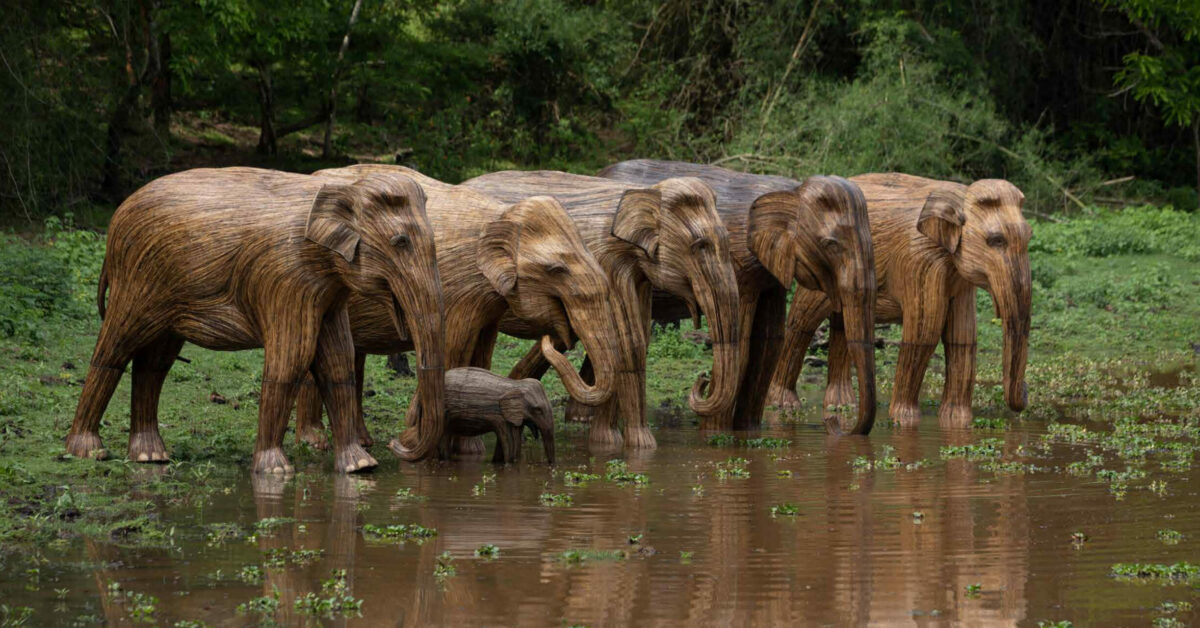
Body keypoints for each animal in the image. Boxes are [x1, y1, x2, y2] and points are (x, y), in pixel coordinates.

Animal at [64, 167, 447, 473]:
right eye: (400, 242)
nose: (399, 443)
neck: (341, 188)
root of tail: (114, 219)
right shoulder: (285, 276)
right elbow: (291, 360)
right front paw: (276, 471)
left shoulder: (327, 290)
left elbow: (337, 362)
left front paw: (360, 467)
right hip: (137, 279)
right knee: (115, 348)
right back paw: (89, 452)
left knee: (155, 363)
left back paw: (150, 457)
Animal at [294, 165, 621, 455]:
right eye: (556, 269)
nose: (551, 340)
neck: (501, 213)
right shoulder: (457, 294)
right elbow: (455, 349)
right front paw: (428, 441)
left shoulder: (487, 303)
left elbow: (482, 354)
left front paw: (468, 448)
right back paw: (315, 442)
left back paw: (363, 442)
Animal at [460, 170, 741, 449]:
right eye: (700, 245)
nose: (703, 378)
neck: (642, 191)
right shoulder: (607, 262)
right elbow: (629, 344)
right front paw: (641, 447)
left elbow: (636, 338)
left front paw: (608, 442)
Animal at [598, 160, 878, 434]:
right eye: (832, 244)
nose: (836, 425)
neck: (791, 189)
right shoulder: (737, 263)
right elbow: (741, 344)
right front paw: (716, 436)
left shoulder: (769, 275)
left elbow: (769, 342)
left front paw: (748, 432)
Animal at [766, 173, 1031, 427]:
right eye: (996, 240)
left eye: (1028, 237)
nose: (1026, 392)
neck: (960, 193)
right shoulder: (919, 261)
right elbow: (924, 335)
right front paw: (904, 422)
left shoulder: (959, 279)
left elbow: (962, 338)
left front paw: (957, 423)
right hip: (815, 266)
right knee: (803, 321)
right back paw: (783, 406)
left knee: (842, 325)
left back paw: (842, 408)